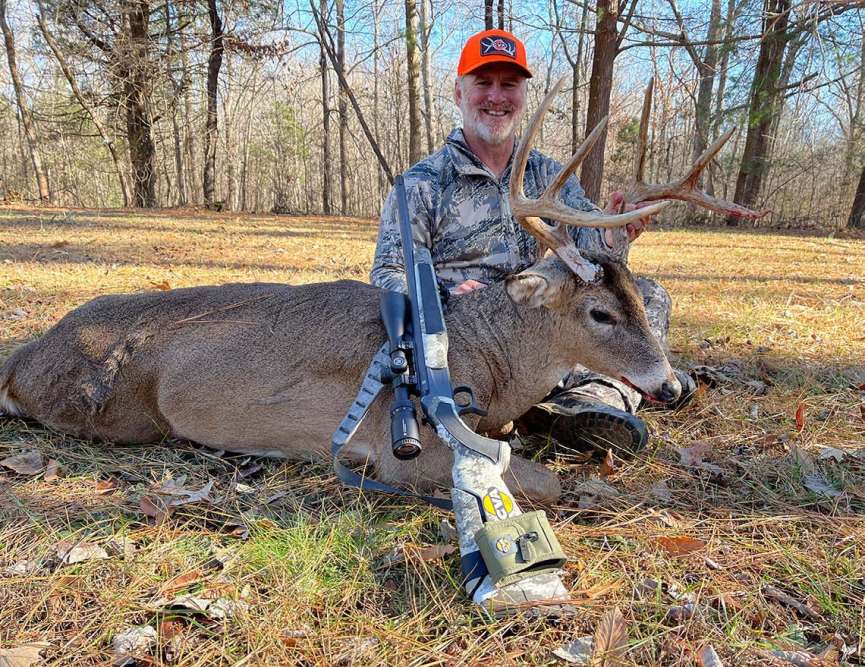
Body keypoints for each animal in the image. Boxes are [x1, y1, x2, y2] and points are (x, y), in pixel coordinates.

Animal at [0, 79, 760, 505]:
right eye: (599, 312)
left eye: (634, 299)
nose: (669, 385)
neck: (485, 359)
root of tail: (25, 354)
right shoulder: (399, 447)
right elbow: (543, 479)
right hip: (108, 407)